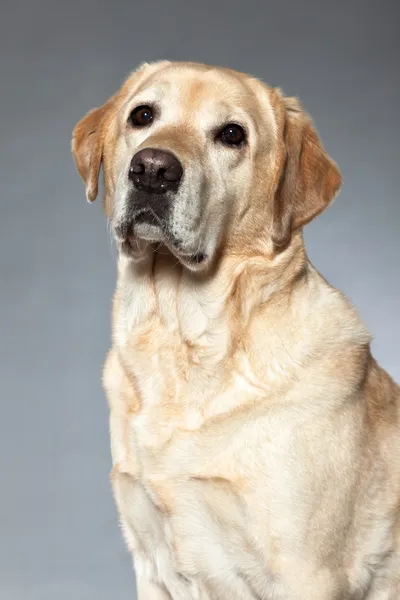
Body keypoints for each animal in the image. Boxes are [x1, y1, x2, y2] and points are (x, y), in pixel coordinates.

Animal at [72, 61, 400, 600]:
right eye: (143, 115)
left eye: (232, 134)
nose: (153, 170)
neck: (183, 340)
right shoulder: (152, 565)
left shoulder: (305, 573)